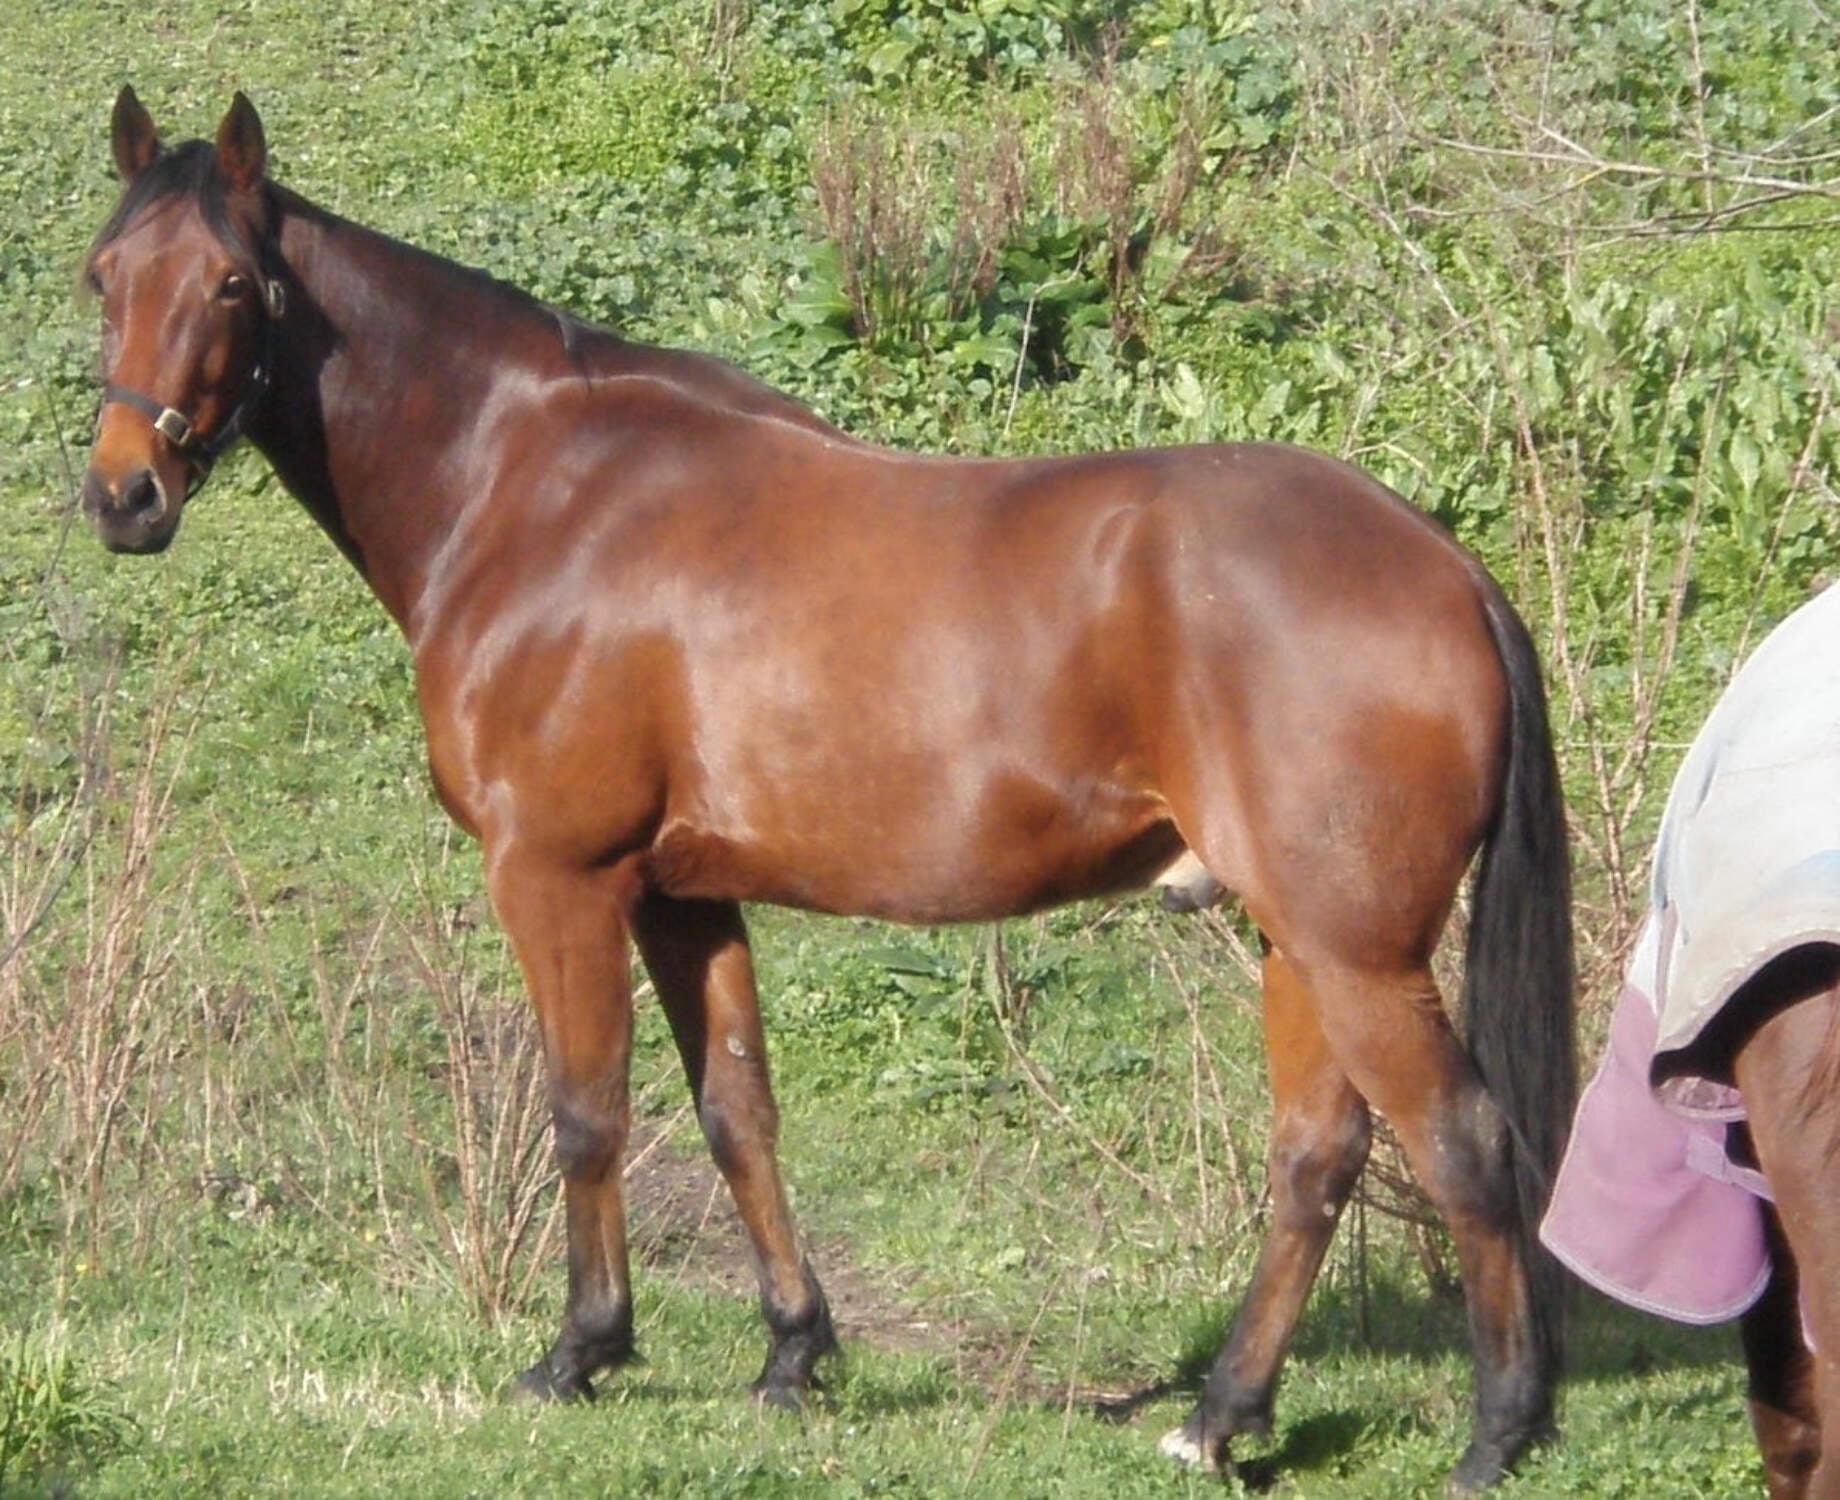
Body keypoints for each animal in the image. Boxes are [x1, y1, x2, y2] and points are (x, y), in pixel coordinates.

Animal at [80, 89, 1575, 1491]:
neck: (535, 492)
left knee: (1461, 1143)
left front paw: (581, 1353)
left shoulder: (559, 876)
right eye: (104, 274)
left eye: (231, 283)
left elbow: (586, 1110)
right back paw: (1220, 1422)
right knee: (1315, 1159)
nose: (122, 497)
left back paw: (1496, 1432)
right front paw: (794, 1354)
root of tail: (1445, 569)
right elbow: (735, 1112)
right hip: (1297, 940)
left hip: (1353, 949)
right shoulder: (683, 896)